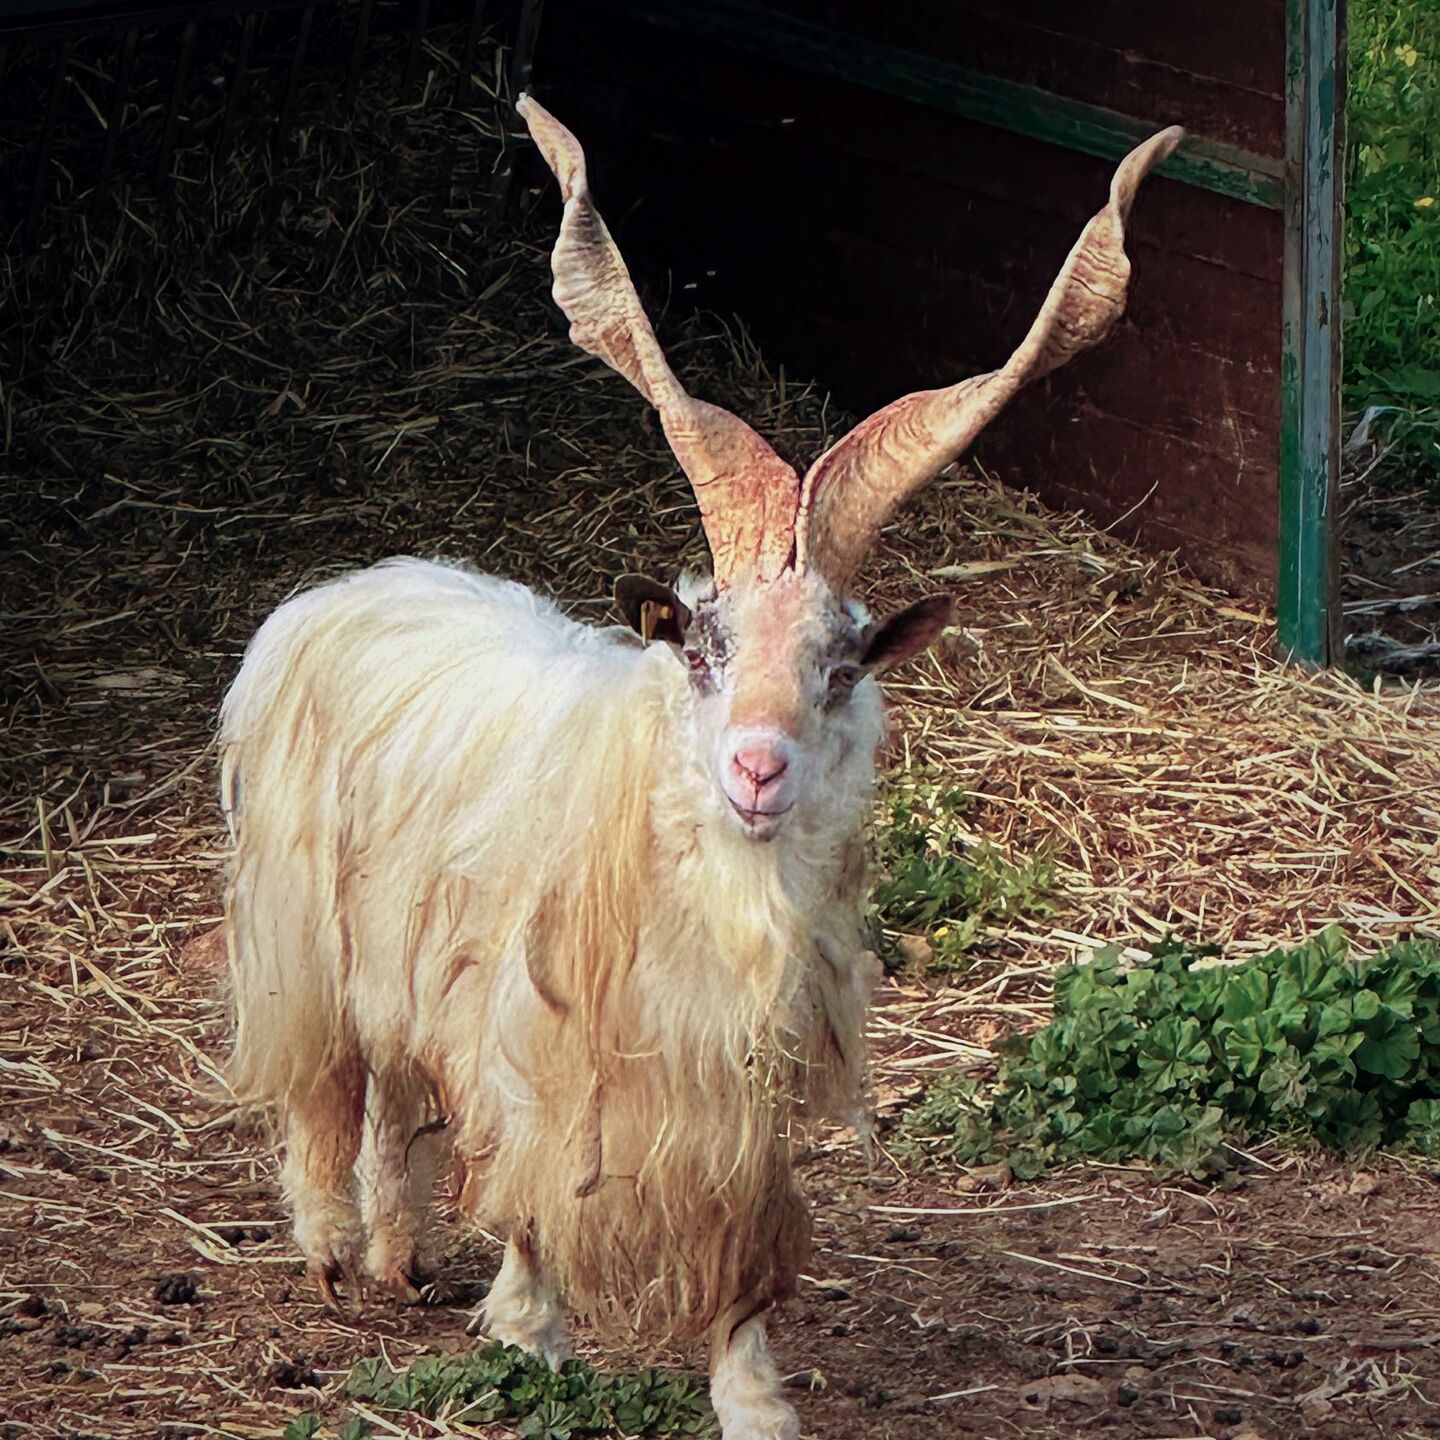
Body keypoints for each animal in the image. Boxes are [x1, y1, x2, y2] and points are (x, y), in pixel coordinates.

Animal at [219, 97, 1180, 1440]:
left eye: (842, 663)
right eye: (705, 647)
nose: (758, 770)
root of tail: (355, 585)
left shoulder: (741, 1099)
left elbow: (742, 1255)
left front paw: (752, 1398)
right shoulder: (536, 1042)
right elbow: (530, 1193)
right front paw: (531, 1339)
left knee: (397, 1107)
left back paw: (402, 1260)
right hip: (306, 939)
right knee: (326, 1096)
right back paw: (327, 1251)